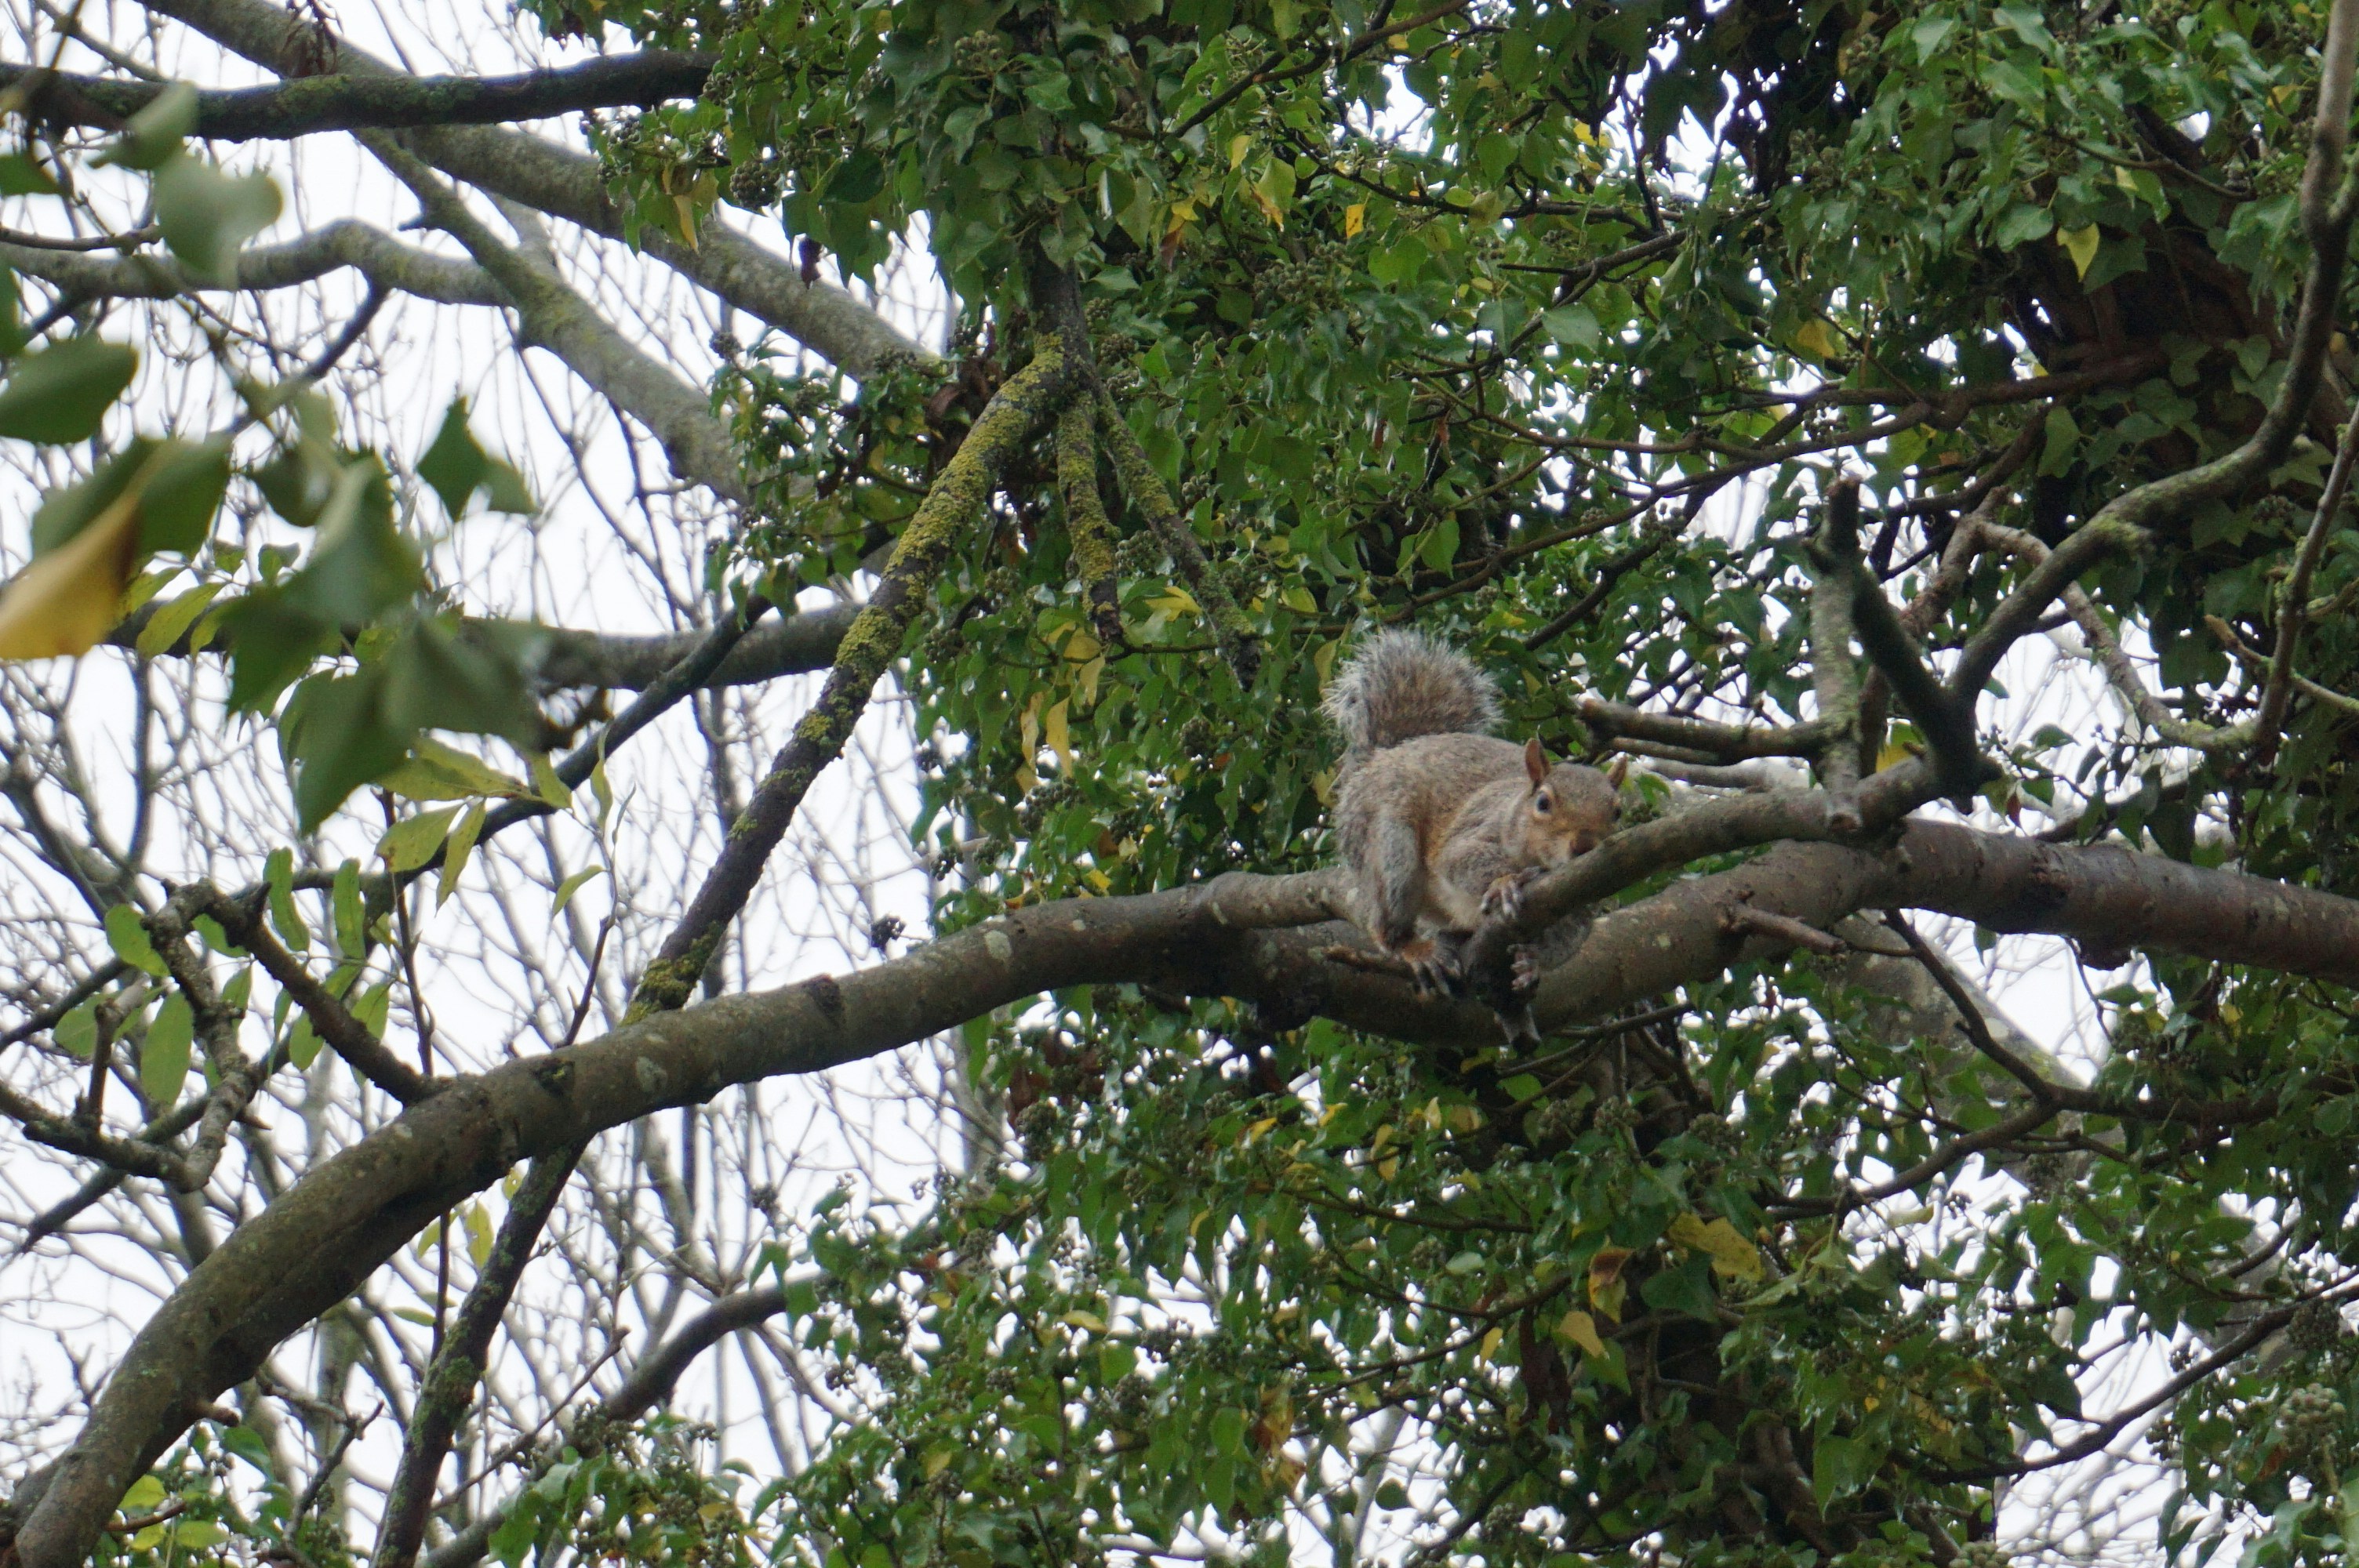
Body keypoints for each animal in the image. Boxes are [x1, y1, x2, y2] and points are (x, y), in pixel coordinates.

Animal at [1324, 629, 1621, 1000]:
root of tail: (1382, 758)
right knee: (1387, 916)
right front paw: (1505, 882)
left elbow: (1569, 938)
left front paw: (1533, 962)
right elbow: (1460, 857)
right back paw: (1417, 949)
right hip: (1388, 840)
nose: (1584, 847)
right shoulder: (1479, 825)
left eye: (1617, 812)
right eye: (1542, 803)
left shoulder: (1585, 900)